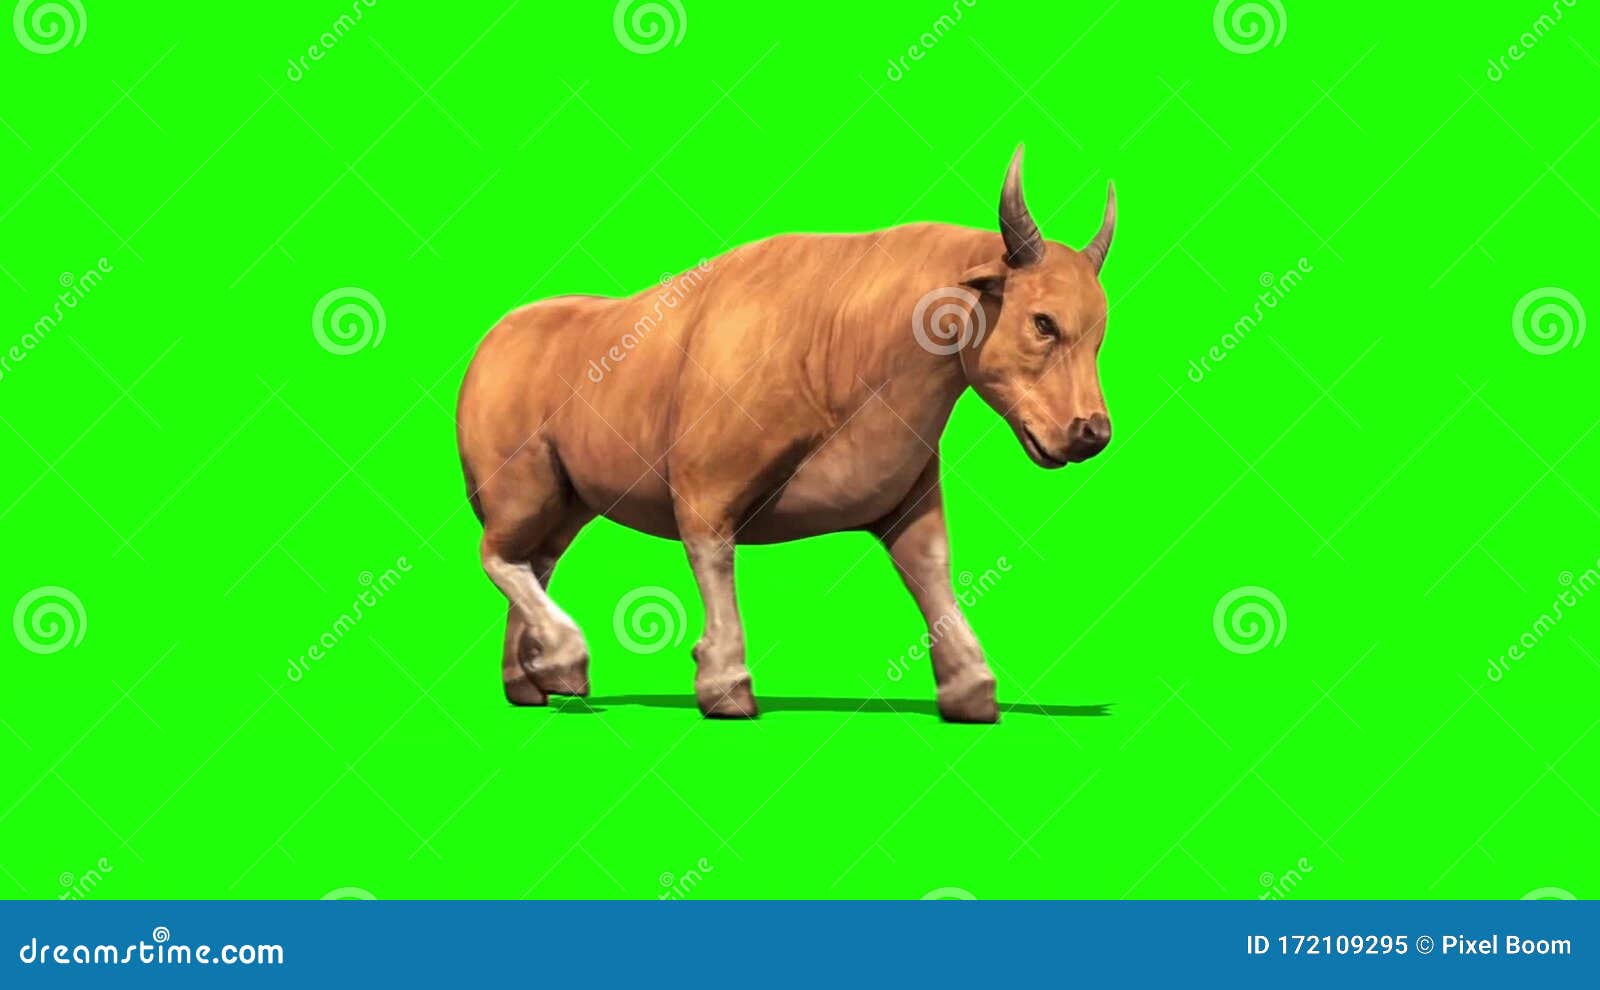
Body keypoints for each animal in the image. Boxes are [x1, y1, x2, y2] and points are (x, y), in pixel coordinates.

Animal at [456, 146, 1115, 723]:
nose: (1092, 432)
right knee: (499, 554)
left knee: (535, 560)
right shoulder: (704, 489)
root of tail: (493, 344)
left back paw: (531, 683)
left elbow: (931, 573)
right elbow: (714, 562)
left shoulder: (907, 497)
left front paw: (971, 689)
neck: (848, 337)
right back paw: (566, 659)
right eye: (1043, 322)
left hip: (567, 501)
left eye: (1100, 335)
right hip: (522, 487)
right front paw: (726, 686)